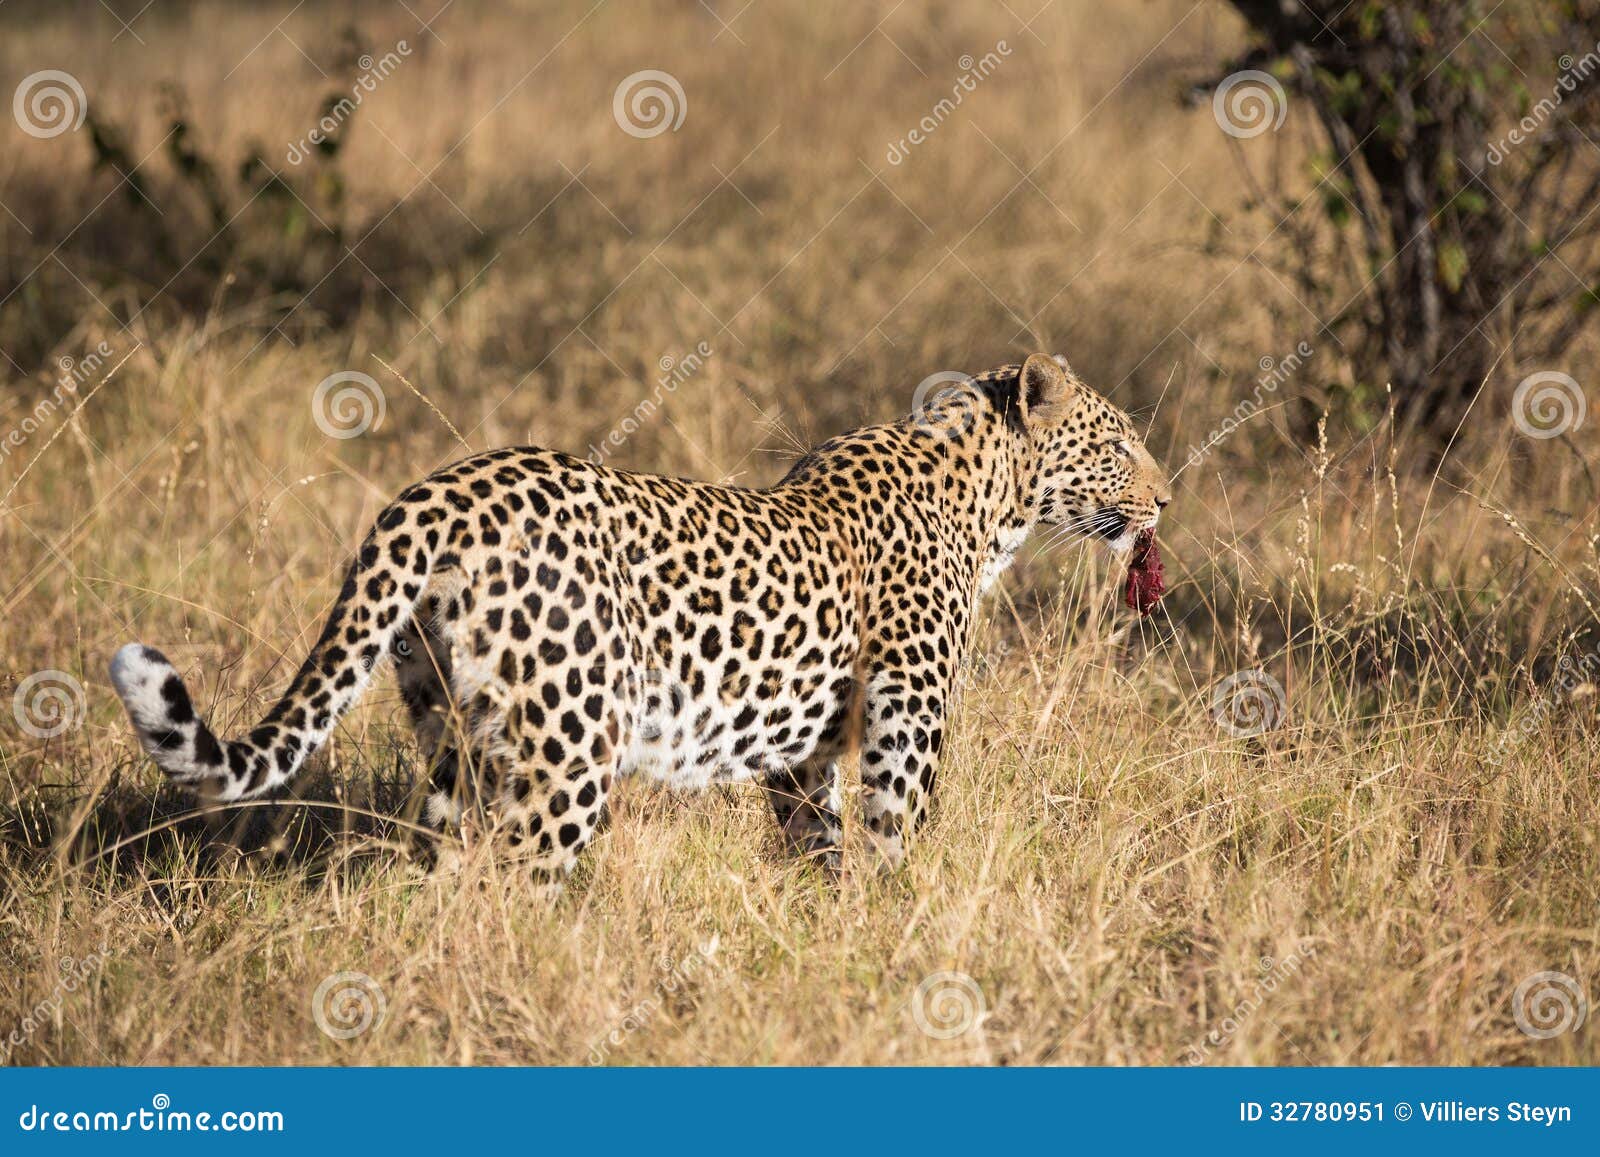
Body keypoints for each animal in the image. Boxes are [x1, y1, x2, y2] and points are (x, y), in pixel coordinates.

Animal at [109, 353, 1171, 878]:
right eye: (1120, 445)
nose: (1167, 499)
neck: (988, 499)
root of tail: (435, 491)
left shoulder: (804, 752)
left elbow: (817, 847)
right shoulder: (905, 724)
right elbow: (892, 841)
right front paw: (898, 936)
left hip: (454, 733)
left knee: (445, 874)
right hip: (572, 746)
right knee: (522, 883)